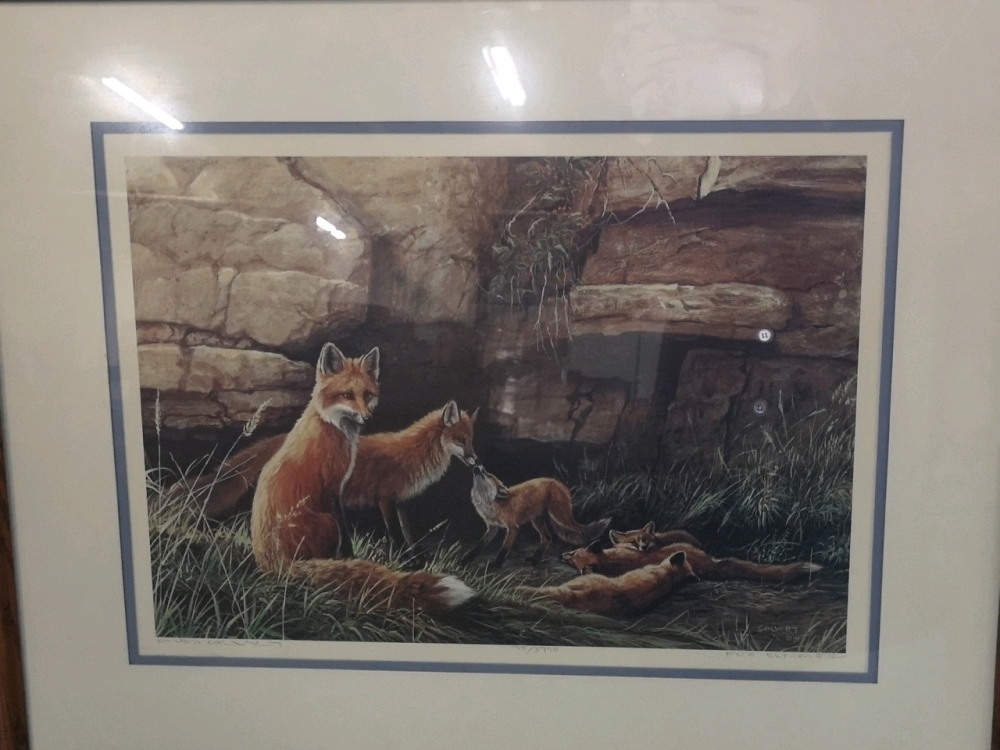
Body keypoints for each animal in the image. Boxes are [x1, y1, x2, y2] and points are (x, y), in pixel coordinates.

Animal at [250, 342, 474, 612]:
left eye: (367, 395)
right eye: (347, 395)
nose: (367, 416)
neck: (331, 427)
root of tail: (275, 564)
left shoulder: (388, 497)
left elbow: (407, 532)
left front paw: (414, 559)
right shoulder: (339, 490)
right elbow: (370, 536)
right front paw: (363, 560)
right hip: (327, 522)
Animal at [462, 464, 612, 568]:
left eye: (487, 474)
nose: (477, 466)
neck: (492, 504)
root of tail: (557, 481)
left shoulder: (513, 527)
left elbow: (504, 549)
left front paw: (496, 564)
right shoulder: (492, 528)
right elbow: (479, 545)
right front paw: (466, 559)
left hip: (560, 517)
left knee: (580, 530)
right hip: (537, 520)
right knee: (547, 538)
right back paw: (535, 559)